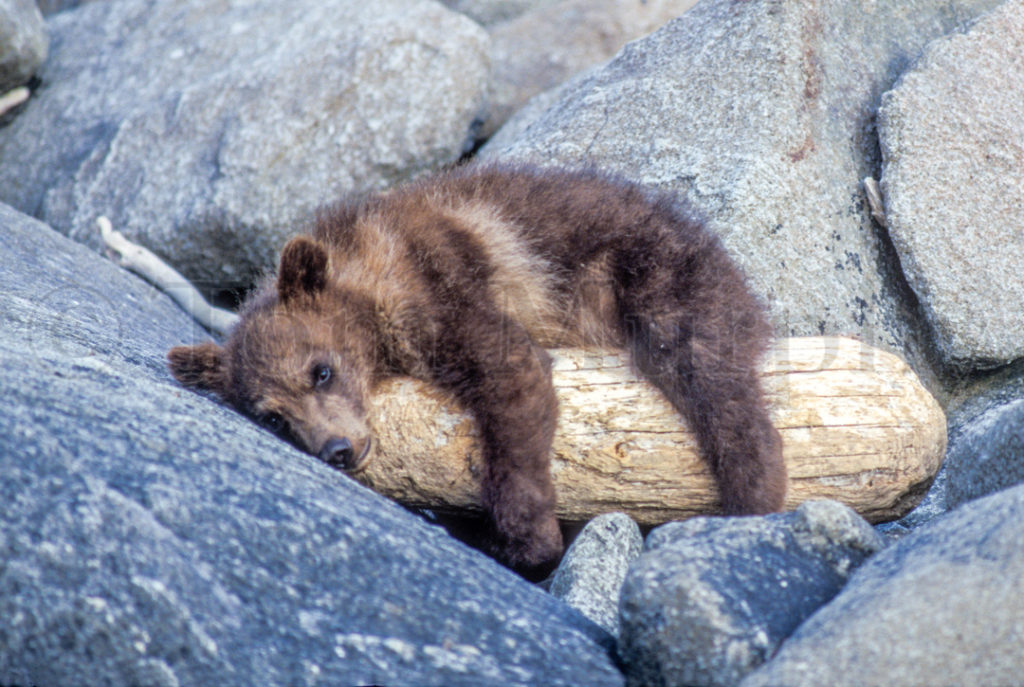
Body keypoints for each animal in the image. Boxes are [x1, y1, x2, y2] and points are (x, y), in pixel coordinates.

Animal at [167, 162, 786, 575]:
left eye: (321, 371)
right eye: (272, 418)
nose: (337, 449)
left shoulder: (441, 285)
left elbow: (513, 380)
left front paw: (526, 538)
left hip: (649, 275)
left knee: (713, 381)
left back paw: (751, 500)